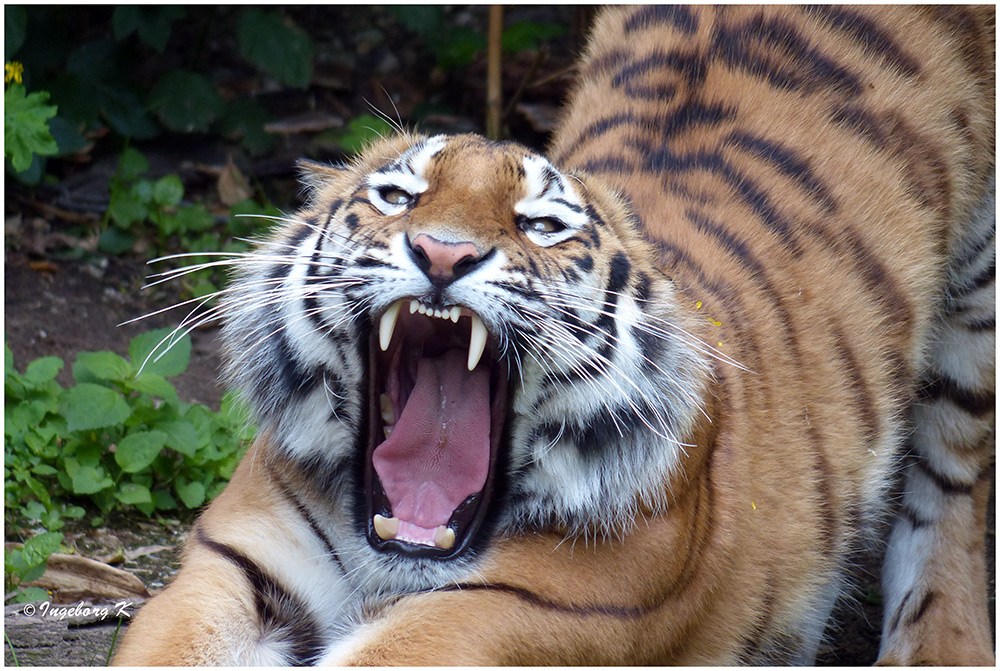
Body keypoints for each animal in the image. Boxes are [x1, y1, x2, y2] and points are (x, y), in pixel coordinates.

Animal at [111, 5, 992, 668]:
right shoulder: (231, 567)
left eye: (540, 224)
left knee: (954, 482)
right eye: (398, 197)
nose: (443, 252)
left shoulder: (525, 604)